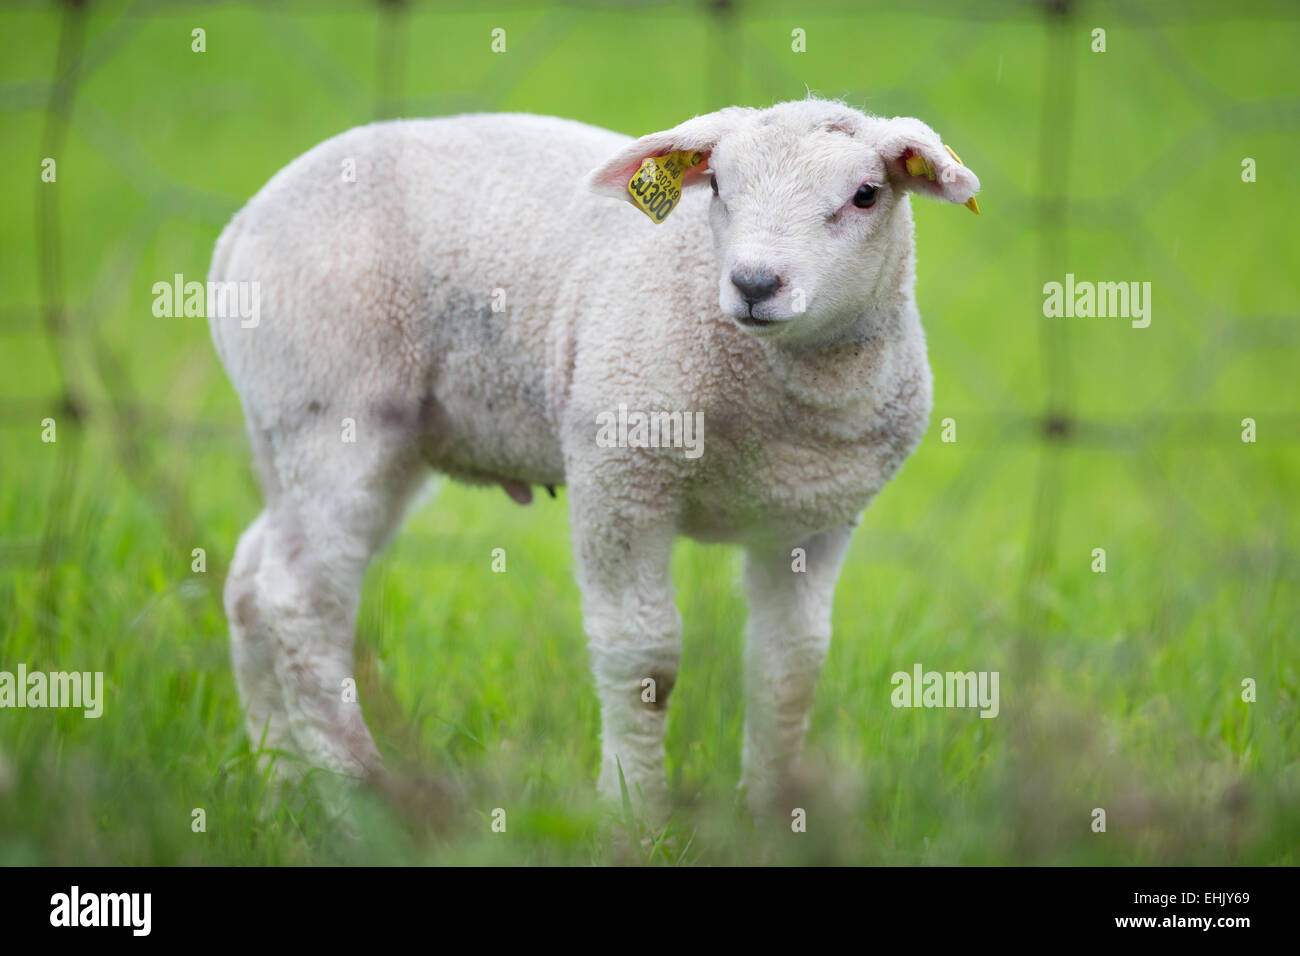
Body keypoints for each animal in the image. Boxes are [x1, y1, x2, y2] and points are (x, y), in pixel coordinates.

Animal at [207, 97, 980, 820]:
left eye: (866, 195)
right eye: (717, 185)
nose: (756, 284)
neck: (778, 409)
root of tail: (241, 226)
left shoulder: (815, 517)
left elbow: (789, 665)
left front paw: (772, 817)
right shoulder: (622, 474)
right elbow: (645, 660)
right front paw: (633, 815)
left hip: (297, 426)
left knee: (251, 579)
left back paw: (279, 780)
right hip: (335, 406)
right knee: (300, 598)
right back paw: (357, 794)